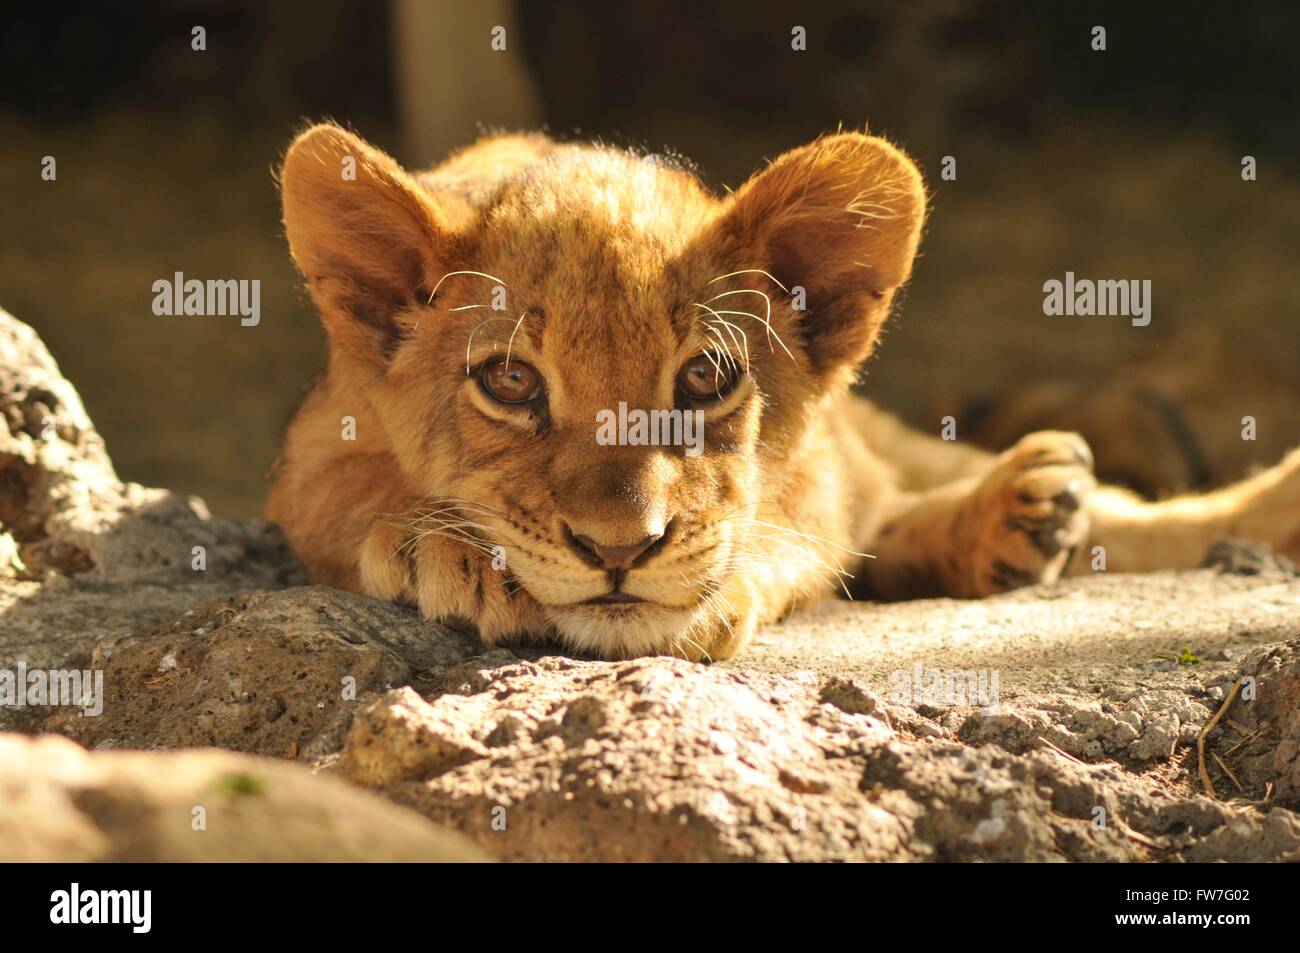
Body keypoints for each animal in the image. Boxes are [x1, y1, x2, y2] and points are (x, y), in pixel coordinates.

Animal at [267, 123, 1300, 661]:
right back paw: (1020, 519)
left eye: (705, 377)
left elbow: (799, 530)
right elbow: (347, 494)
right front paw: (450, 547)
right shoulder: (306, 456)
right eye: (511, 380)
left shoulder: (825, 475)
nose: (620, 549)